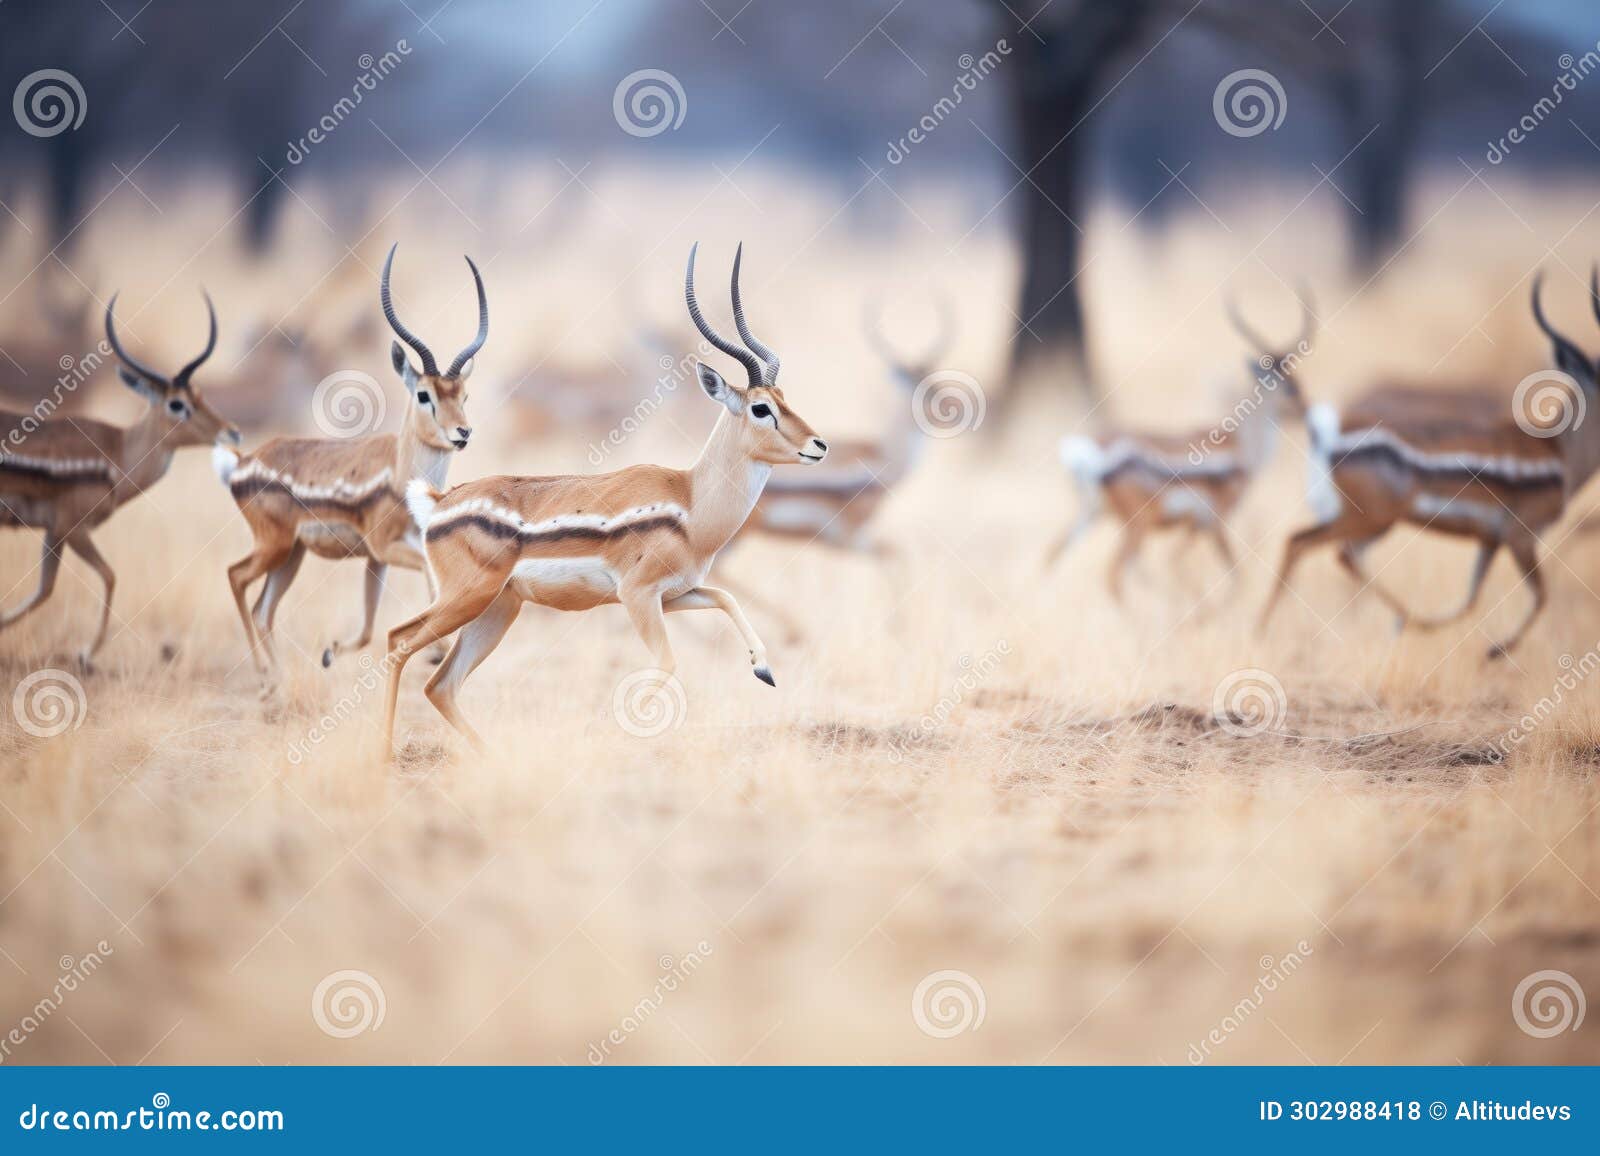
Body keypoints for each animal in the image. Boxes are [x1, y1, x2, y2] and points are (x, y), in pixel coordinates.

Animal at [0, 292, 239, 663]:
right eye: (176, 404)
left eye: (200, 394)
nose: (232, 432)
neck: (118, 454)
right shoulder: (72, 528)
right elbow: (110, 576)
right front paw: (85, 654)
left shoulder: (54, 531)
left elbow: (45, 589)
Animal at [215, 244, 487, 690]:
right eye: (424, 394)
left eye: (463, 395)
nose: (462, 432)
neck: (401, 472)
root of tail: (243, 461)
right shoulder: (384, 547)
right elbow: (422, 577)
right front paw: (436, 651)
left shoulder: (378, 559)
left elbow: (367, 628)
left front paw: (329, 653)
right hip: (274, 546)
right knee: (237, 577)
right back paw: (264, 675)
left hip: (291, 555)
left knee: (262, 609)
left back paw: (277, 679)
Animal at [382, 243, 829, 754]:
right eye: (760, 407)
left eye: (783, 397)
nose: (818, 445)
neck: (692, 505)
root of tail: (439, 502)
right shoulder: (637, 596)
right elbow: (668, 663)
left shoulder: (675, 593)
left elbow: (725, 597)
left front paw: (764, 669)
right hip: (466, 597)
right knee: (398, 642)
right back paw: (381, 754)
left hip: (497, 607)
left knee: (441, 684)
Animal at [1045, 296, 1314, 600]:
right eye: (1291, 387)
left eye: (1298, 382)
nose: (1305, 411)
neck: (1244, 445)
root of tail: (1090, 449)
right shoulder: (1214, 520)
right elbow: (1231, 574)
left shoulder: (1194, 525)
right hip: (1136, 525)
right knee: (1113, 575)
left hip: (1093, 514)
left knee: (1054, 554)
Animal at [1259, 273, 1600, 659]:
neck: (1560, 450)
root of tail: (1329, 430)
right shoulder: (1521, 536)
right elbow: (1540, 596)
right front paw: (1495, 651)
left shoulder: (1490, 540)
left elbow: (1471, 600)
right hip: (1373, 519)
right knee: (1314, 547)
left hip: (1369, 523)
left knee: (1327, 550)